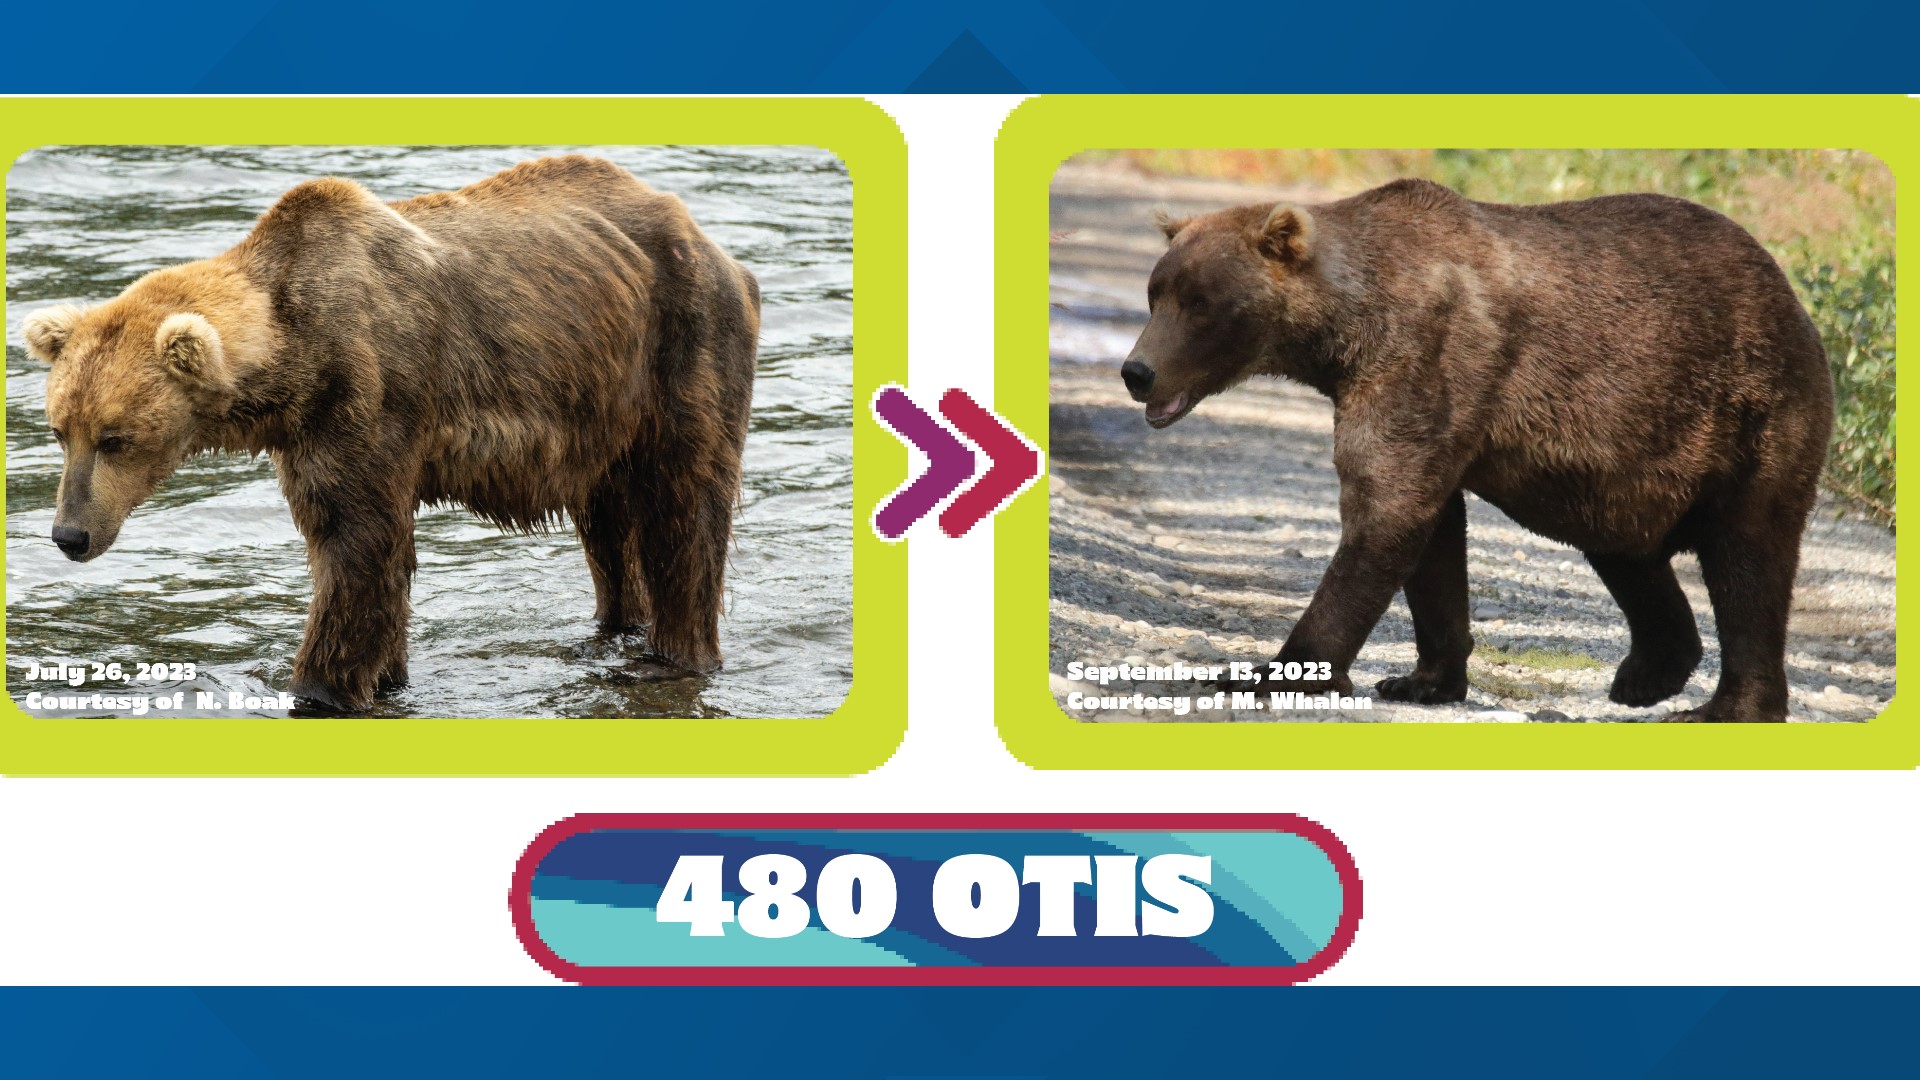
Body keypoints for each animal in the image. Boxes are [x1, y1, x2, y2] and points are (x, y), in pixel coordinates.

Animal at [21, 155, 760, 713]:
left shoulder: (367, 393)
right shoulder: (307, 430)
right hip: (604, 404)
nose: (69, 534)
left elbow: (358, 546)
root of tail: (708, 237)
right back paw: (609, 631)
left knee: (683, 507)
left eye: (115, 438)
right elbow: (359, 552)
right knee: (607, 522)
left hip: (681, 344)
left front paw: (319, 685)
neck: (292, 358)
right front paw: (386, 673)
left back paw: (670, 657)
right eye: (61, 431)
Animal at [1122, 179, 1833, 722]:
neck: (1345, 330)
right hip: (1624, 465)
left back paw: (1729, 706)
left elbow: (1385, 509)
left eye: (1201, 302)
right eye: (1155, 293)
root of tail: (1788, 292)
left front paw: (1275, 670)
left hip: (1747, 414)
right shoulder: (1422, 398)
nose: (1137, 372)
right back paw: (1647, 673)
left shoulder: (1422, 357)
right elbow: (1431, 534)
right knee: (1626, 551)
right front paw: (1420, 680)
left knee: (1749, 558)